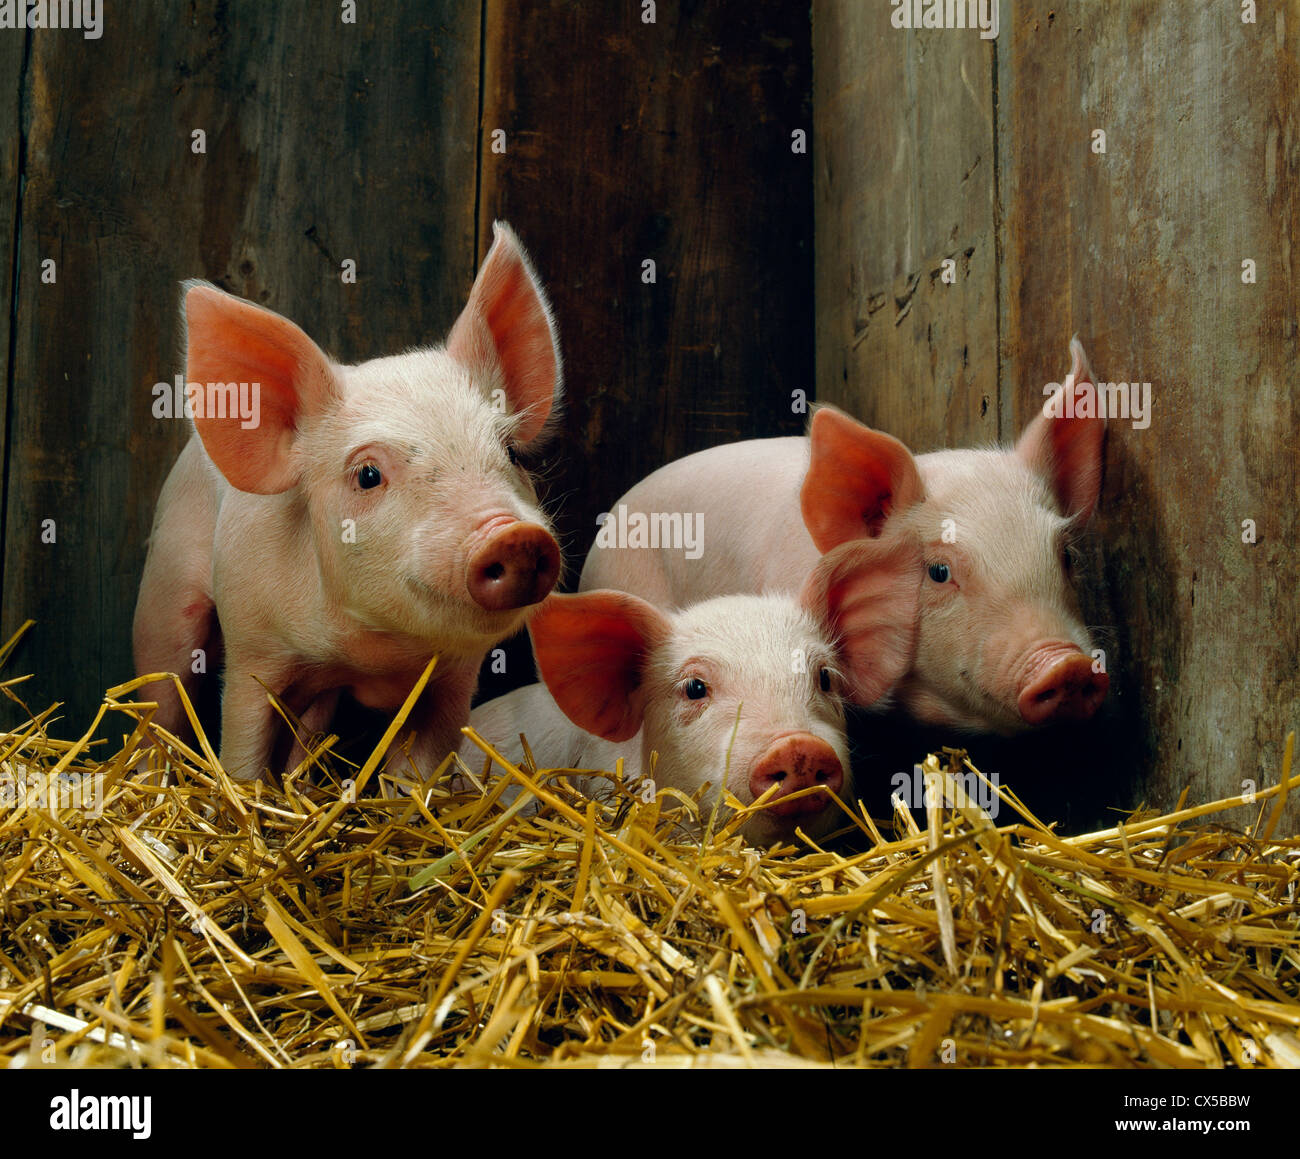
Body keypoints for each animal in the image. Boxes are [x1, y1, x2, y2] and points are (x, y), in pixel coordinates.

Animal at [134, 222, 563, 781]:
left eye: (510, 451)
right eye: (367, 475)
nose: (514, 536)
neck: (369, 653)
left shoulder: (452, 678)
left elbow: (421, 769)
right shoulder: (253, 649)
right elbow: (243, 750)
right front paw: (247, 792)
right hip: (166, 587)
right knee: (160, 694)